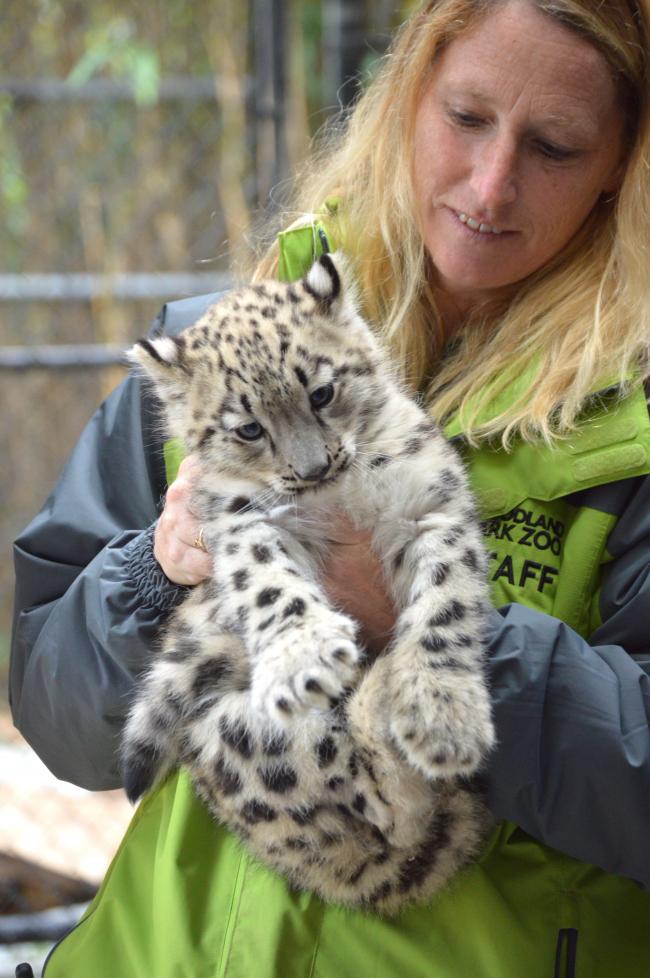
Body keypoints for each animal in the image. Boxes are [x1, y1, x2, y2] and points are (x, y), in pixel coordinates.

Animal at [122, 252, 495, 915]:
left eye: (322, 392)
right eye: (248, 429)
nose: (314, 467)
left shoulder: (430, 508)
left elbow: (446, 607)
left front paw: (442, 712)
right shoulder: (243, 519)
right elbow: (268, 581)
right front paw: (305, 655)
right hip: (240, 738)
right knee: (383, 810)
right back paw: (370, 690)